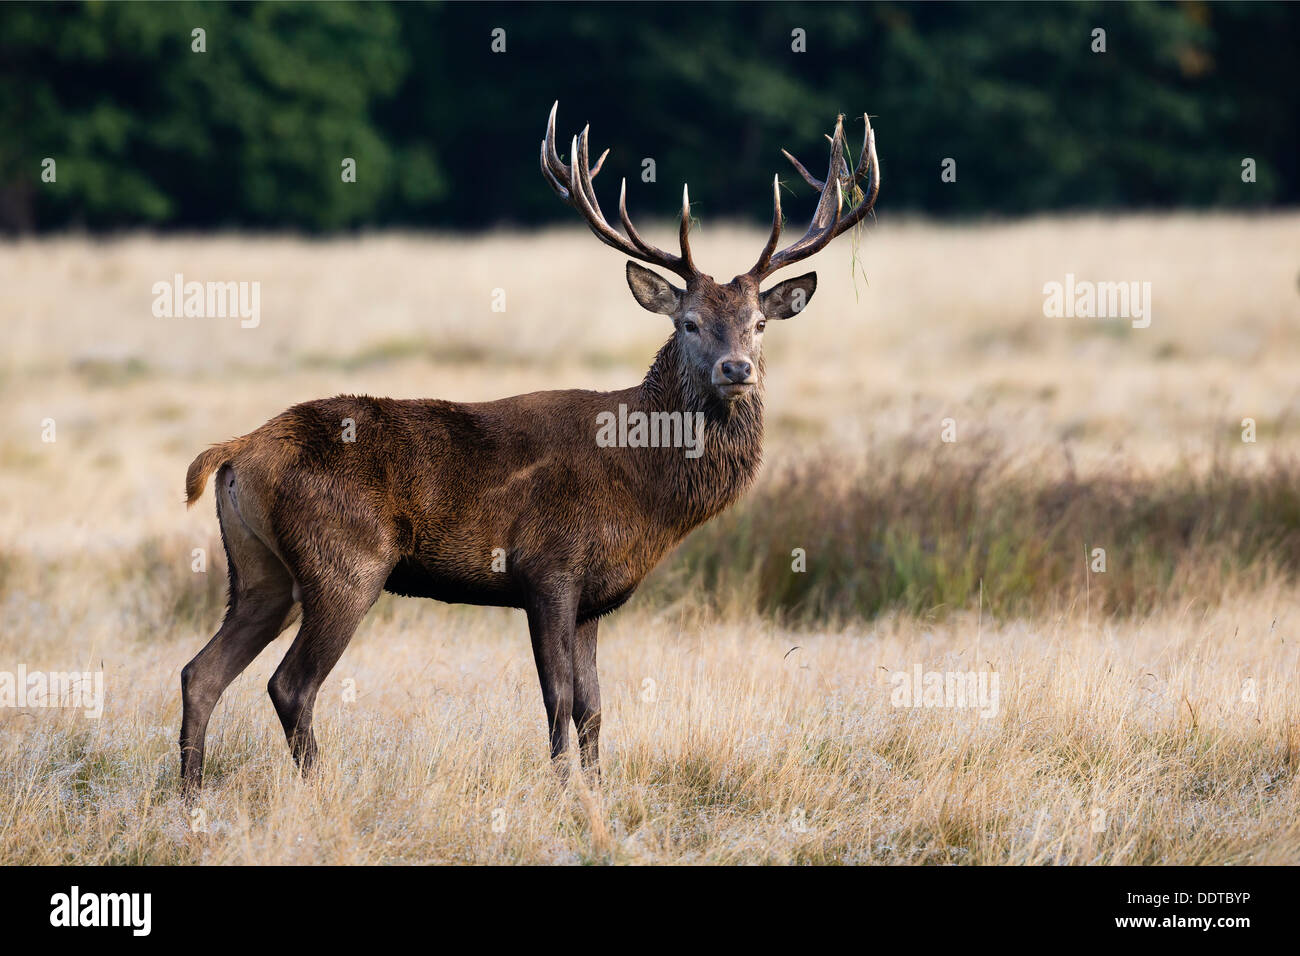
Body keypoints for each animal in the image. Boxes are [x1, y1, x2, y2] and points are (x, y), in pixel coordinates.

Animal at [178, 102, 879, 793]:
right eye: (689, 323)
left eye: (759, 323)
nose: (738, 368)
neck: (644, 491)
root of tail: (238, 450)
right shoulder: (548, 568)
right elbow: (558, 697)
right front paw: (563, 790)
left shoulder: (595, 598)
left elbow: (594, 705)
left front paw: (596, 790)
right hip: (344, 561)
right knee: (290, 684)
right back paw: (317, 790)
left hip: (261, 571)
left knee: (200, 672)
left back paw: (188, 793)